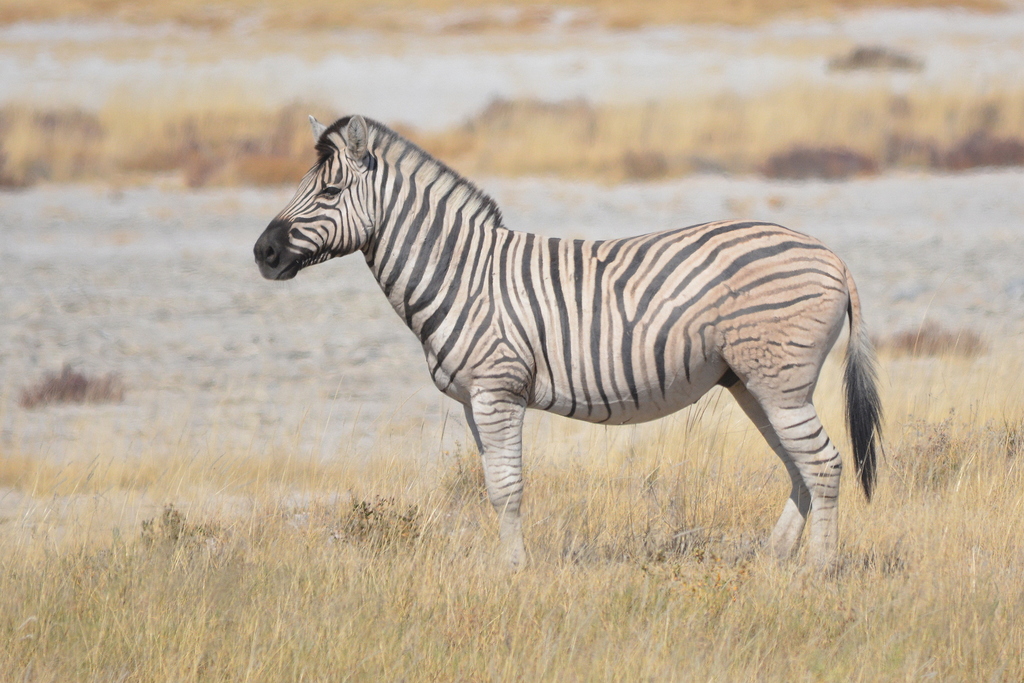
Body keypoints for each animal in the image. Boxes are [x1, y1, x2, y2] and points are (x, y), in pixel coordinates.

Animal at [253, 114, 883, 570]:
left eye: (330, 191)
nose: (262, 253)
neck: (462, 273)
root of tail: (832, 255)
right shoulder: (473, 402)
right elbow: (492, 486)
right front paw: (506, 564)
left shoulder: (498, 391)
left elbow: (507, 488)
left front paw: (513, 572)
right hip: (753, 383)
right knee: (801, 467)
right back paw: (774, 561)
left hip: (780, 383)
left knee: (823, 464)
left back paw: (819, 572)